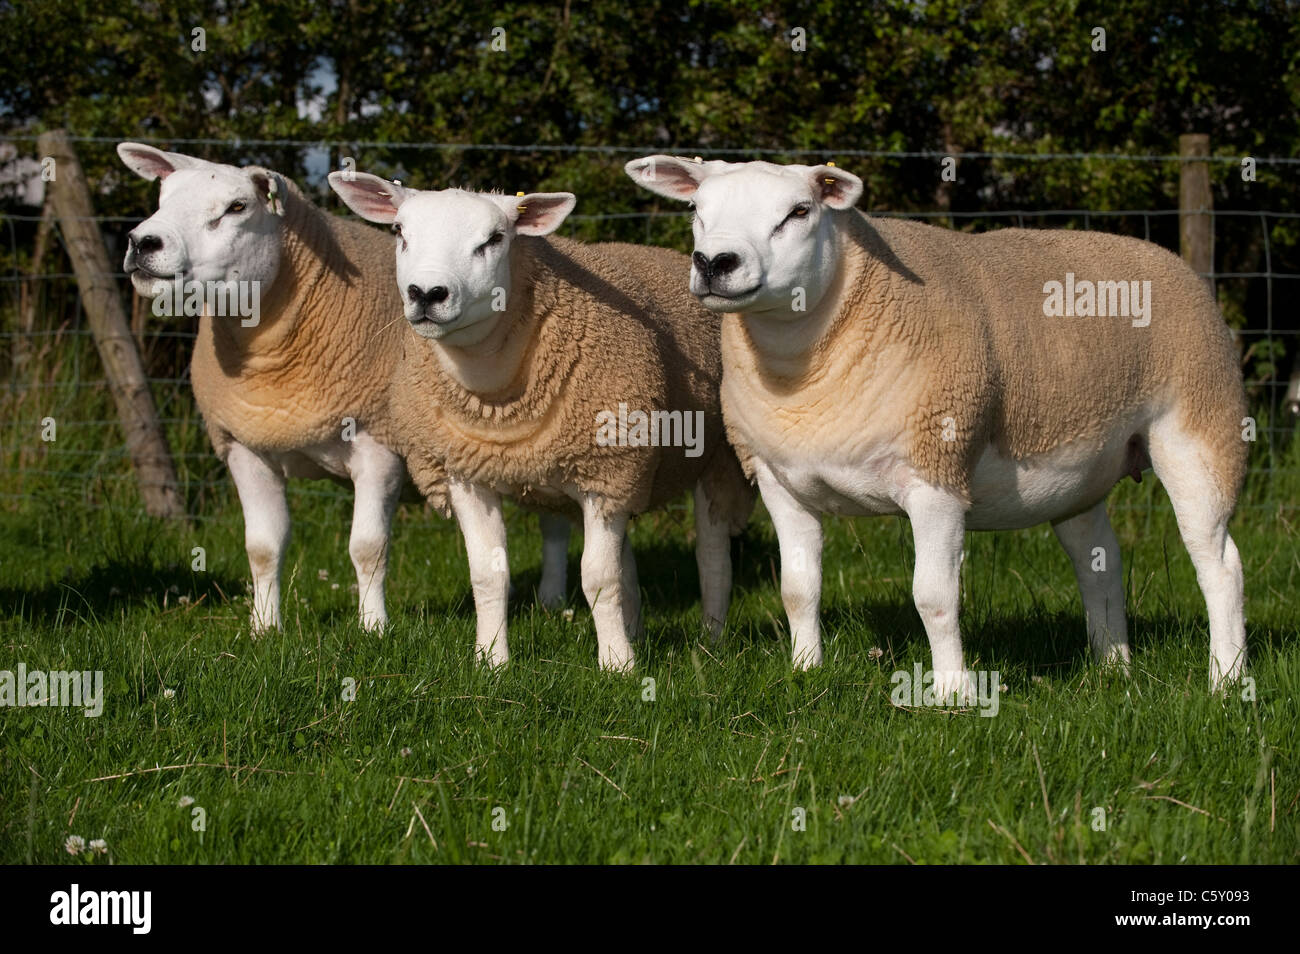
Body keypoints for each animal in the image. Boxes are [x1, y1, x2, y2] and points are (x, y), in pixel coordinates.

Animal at [118, 147, 569, 634]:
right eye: (162, 197)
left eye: (237, 207)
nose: (143, 243)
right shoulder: (244, 446)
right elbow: (262, 547)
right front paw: (264, 628)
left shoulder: (378, 443)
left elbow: (367, 546)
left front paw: (374, 628)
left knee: (555, 524)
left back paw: (553, 599)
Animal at [327, 171, 754, 670]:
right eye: (399, 232)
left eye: (494, 239)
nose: (427, 294)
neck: (496, 396)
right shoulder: (465, 473)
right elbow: (488, 574)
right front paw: (491, 661)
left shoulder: (604, 473)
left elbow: (598, 578)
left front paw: (617, 666)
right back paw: (636, 631)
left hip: (715, 458)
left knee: (711, 553)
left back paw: (712, 637)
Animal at [629, 157, 1248, 696]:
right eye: (697, 210)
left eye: (799, 211)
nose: (714, 262)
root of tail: (1166, 257)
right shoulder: (780, 480)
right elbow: (797, 590)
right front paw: (806, 671)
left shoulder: (937, 472)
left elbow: (934, 596)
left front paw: (953, 692)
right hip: (1078, 472)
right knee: (1099, 562)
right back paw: (1113, 667)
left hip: (1197, 426)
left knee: (1220, 564)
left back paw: (1226, 679)